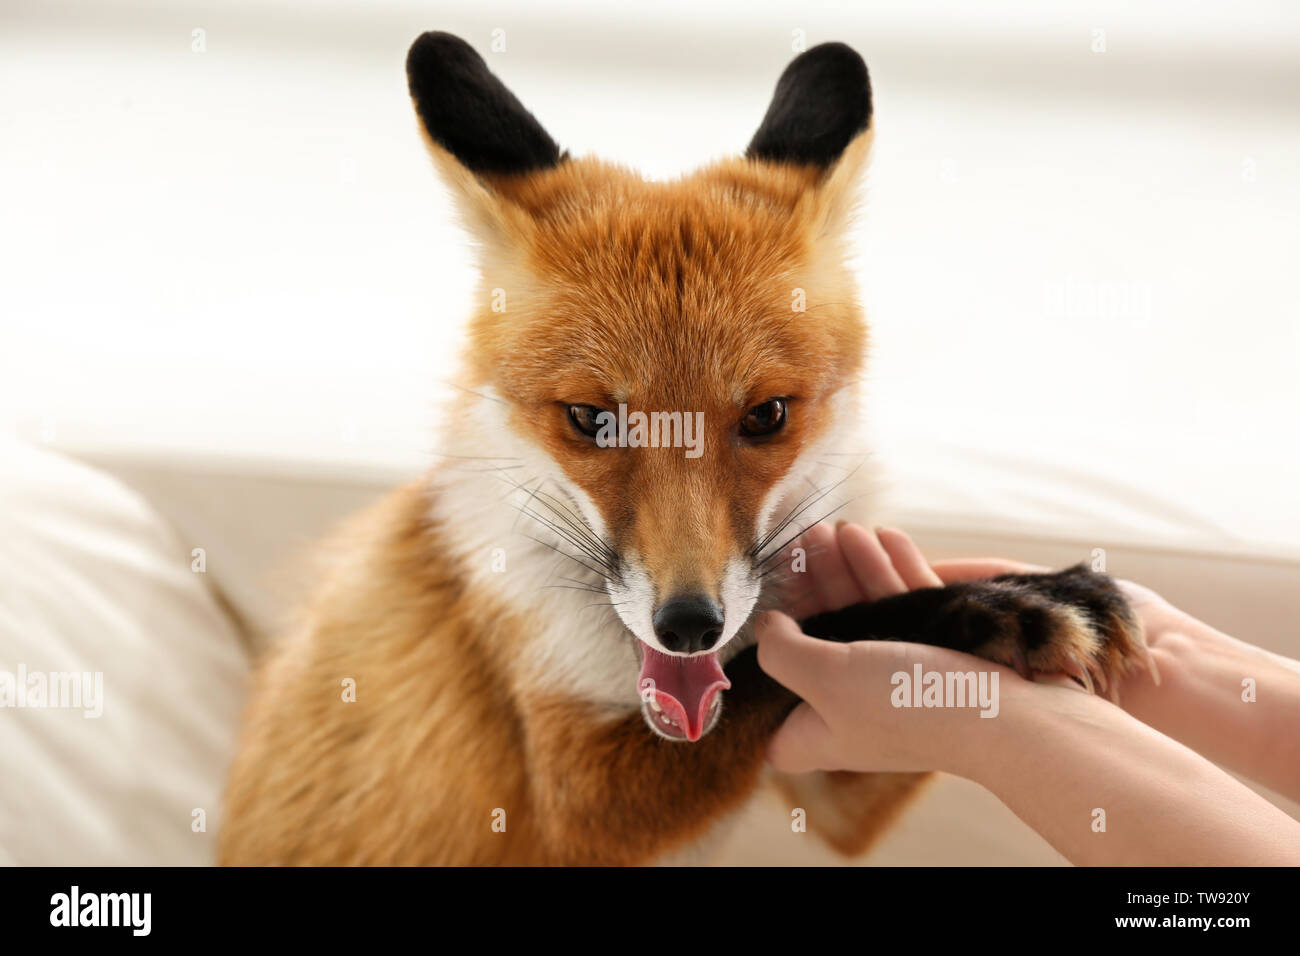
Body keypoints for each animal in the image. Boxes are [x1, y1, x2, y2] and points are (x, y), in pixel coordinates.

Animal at [218, 32, 1153, 865]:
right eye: (591, 420)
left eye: (767, 415)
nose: (689, 627)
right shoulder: (584, 793)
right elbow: (816, 639)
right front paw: (1003, 605)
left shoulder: (835, 784)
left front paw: (1017, 589)